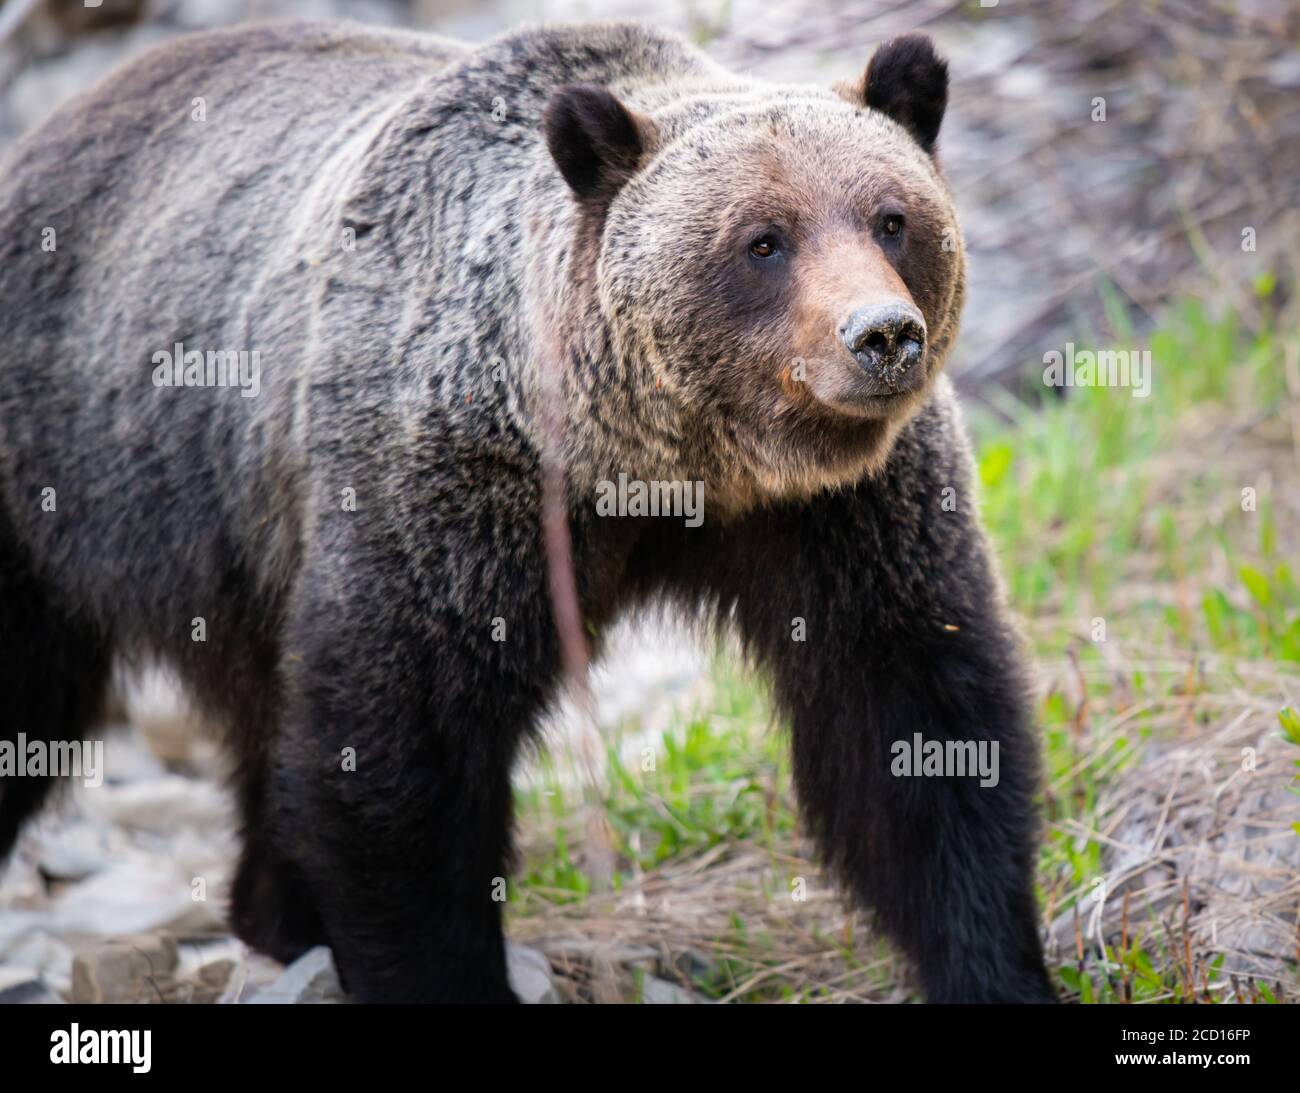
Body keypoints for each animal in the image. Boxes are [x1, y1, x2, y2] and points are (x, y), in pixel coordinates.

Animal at [0, 20, 1057, 1003]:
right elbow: (400, 751)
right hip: (80, 473)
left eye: (892, 218)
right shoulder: (450, 496)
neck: (662, 462)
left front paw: (994, 962)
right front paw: (443, 970)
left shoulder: (843, 512)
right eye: (764, 239)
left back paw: (278, 908)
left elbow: (912, 720)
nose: (881, 336)